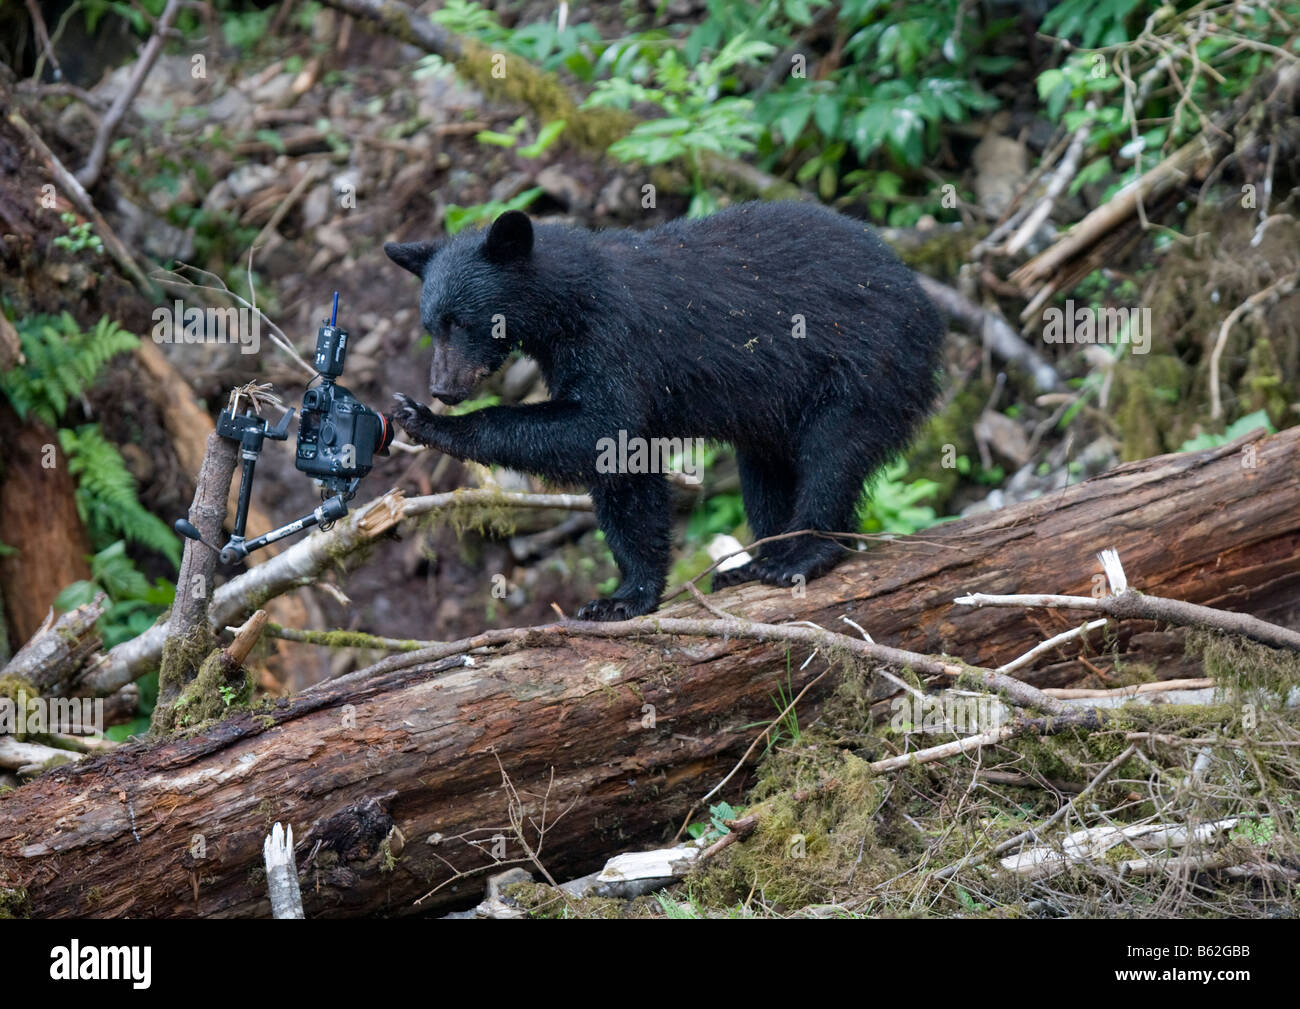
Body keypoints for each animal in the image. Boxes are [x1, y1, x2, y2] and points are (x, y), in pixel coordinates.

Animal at [386, 201, 944, 621]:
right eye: (432, 325)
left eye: (464, 322)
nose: (443, 388)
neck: (567, 307)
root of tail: (923, 299)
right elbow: (624, 474)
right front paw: (624, 596)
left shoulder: (616, 341)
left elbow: (598, 428)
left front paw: (427, 422)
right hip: (778, 408)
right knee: (767, 472)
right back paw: (754, 560)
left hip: (865, 365)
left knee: (832, 455)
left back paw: (799, 556)